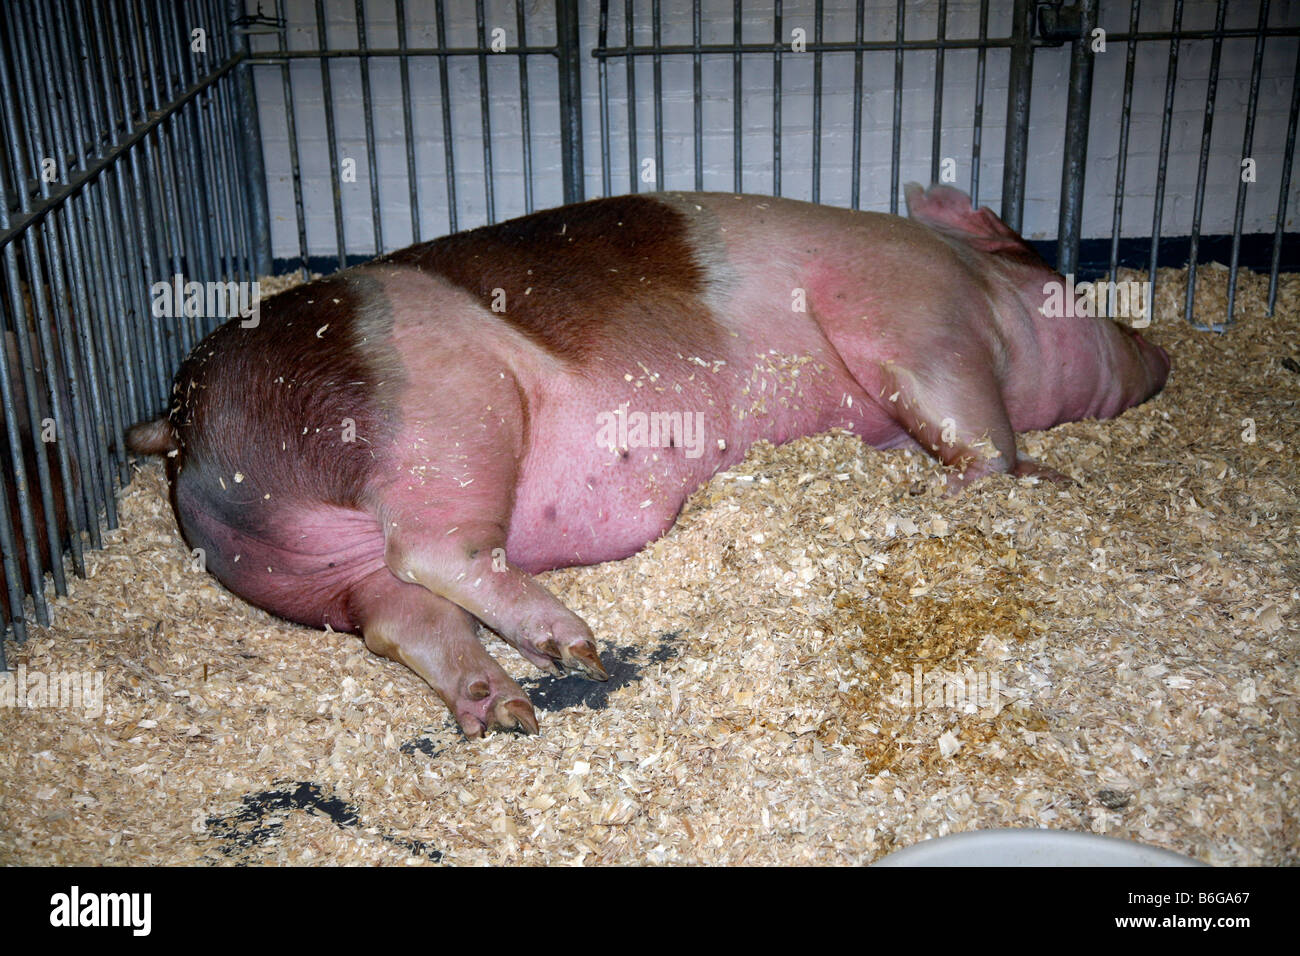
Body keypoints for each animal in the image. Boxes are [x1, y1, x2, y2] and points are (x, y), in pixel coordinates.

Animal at [126, 185, 1170, 737]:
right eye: (1075, 287)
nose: (1157, 354)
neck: (984, 287)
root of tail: (184, 426)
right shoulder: (922, 316)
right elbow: (975, 427)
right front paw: (1043, 480)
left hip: (314, 571)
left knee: (398, 617)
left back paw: (507, 712)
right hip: (445, 425)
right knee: (432, 552)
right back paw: (575, 647)